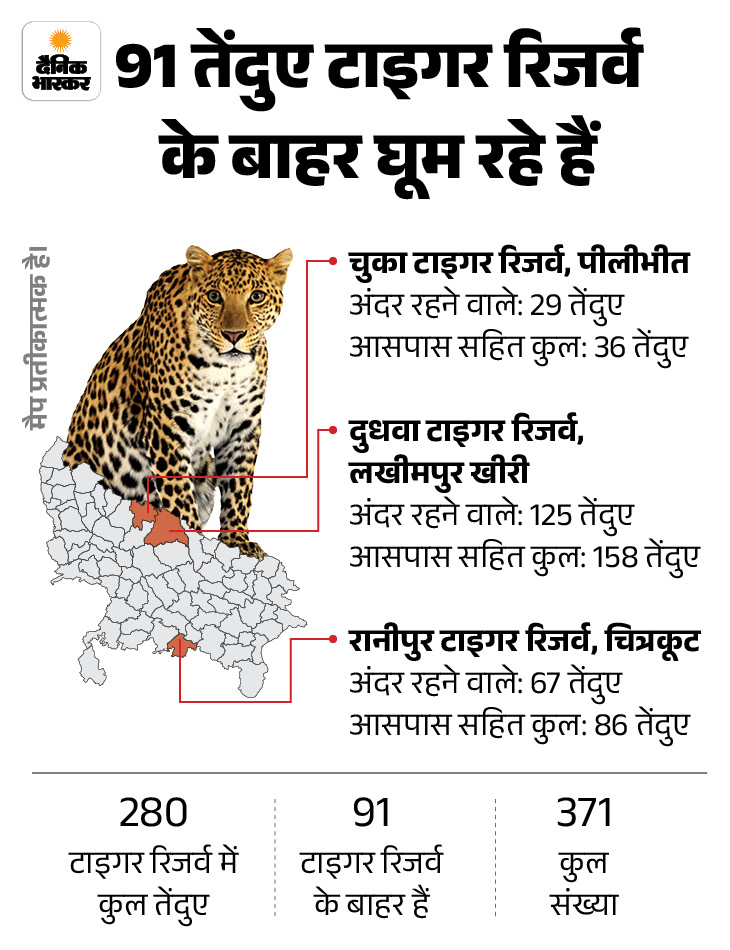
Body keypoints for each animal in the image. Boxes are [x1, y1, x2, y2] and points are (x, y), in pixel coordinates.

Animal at [62, 245, 293, 559]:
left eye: (256, 296)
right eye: (214, 296)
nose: (234, 335)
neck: (225, 371)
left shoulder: (243, 427)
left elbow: (239, 489)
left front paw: (237, 544)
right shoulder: (167, 427)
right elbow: (179, 497)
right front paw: (190, 545)